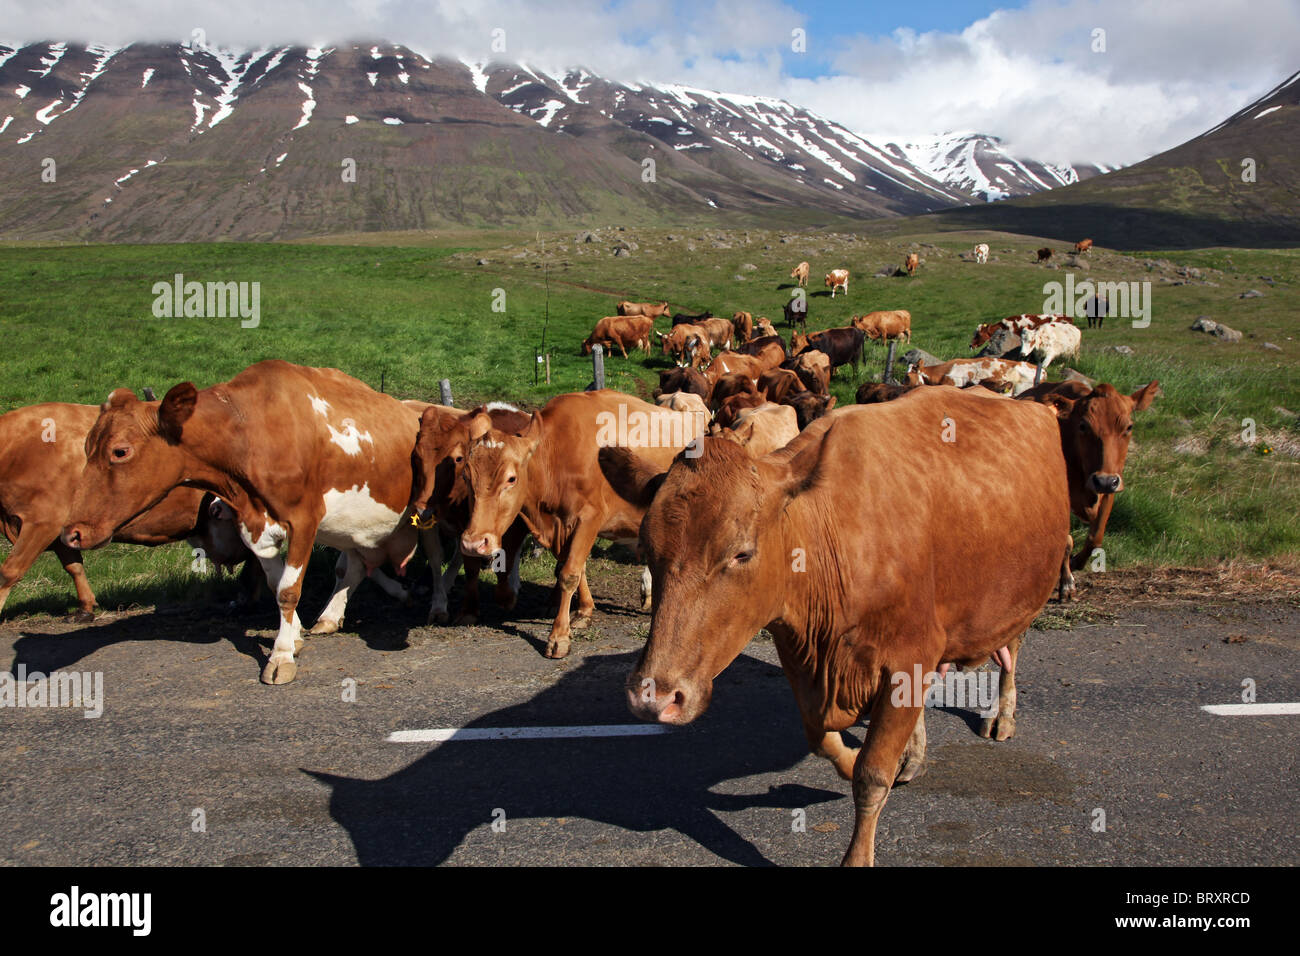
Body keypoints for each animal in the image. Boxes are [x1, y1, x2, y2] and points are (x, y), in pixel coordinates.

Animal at [61, 360, 424, 685]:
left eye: (120, 451)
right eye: (87, 447)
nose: (71, 533)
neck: (249, 431)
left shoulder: (304, 519)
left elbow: (288, 591)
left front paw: (280, 657)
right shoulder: (254, 526)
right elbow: (276, 582)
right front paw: (294, 638)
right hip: (355, 525)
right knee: (354, 566)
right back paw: (332, 616)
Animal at [459, 390, 706, 659]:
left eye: (511, 479)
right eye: (465, 475)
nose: (473, 543)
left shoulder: (589, 518)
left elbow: (569, 574)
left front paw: (558, 637)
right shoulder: (562, 525)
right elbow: (573, 567)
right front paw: (584, 611)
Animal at [604, 387, 1071, 865]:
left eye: (742, 552)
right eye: (647, 548)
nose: (653, 697)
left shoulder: (908, 658)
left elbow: (872, 775)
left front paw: (858, 852)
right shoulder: (801, 659)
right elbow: (823, 740)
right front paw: (852, 758)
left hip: (1023, 594)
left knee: (1011, 654)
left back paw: (1003, 717)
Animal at [1020, 381, 1160, 580]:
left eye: (1129, 427)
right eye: (1083, 426)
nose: (1105, 481)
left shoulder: (1111, 487)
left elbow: (1096, 537)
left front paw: (1076, 562)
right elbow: (1066, 539)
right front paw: (1066, 579)